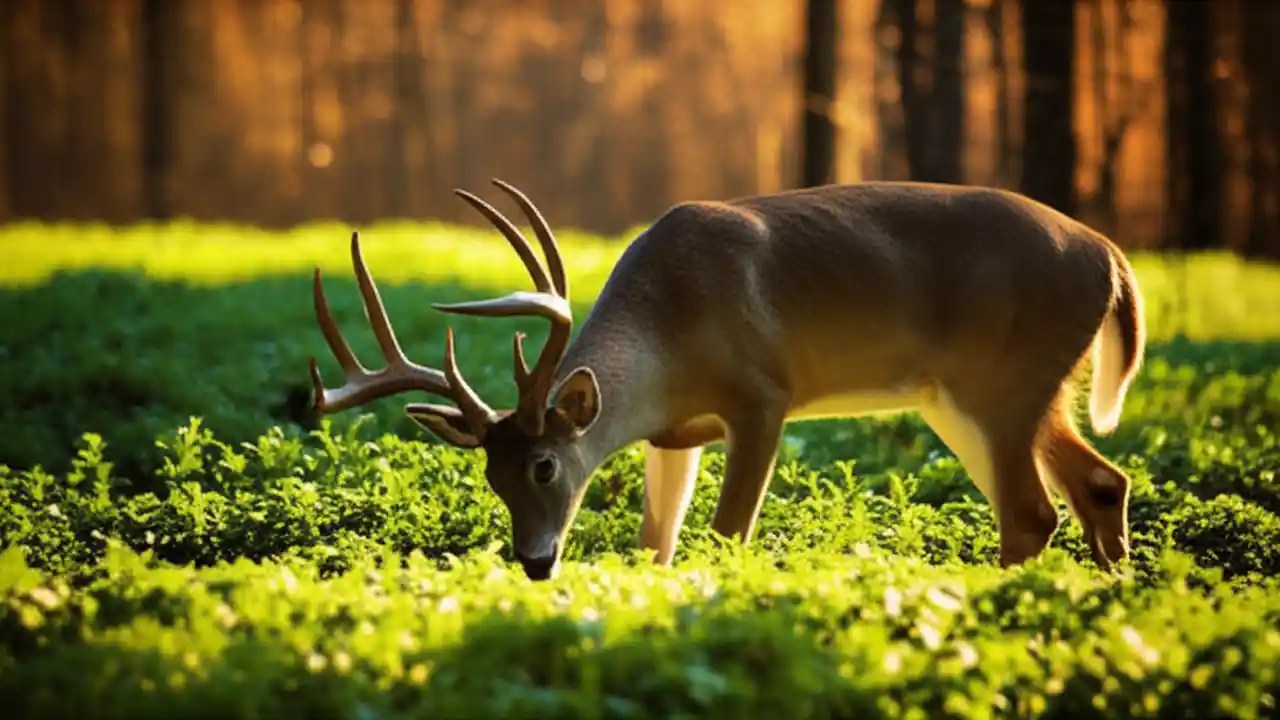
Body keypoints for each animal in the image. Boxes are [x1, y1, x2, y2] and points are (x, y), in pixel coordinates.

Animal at [307, 179, 1145, 581]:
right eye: (491, 477)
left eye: (544, 465)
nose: (538, 563)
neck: (671, 330)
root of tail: (1111, 257)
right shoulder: (675, 435)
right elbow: (657, 546)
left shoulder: (763, 396)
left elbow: (725, 535)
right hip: (981, 395)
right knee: (1100, 483)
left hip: (1000, 382)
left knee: (1031, 512)